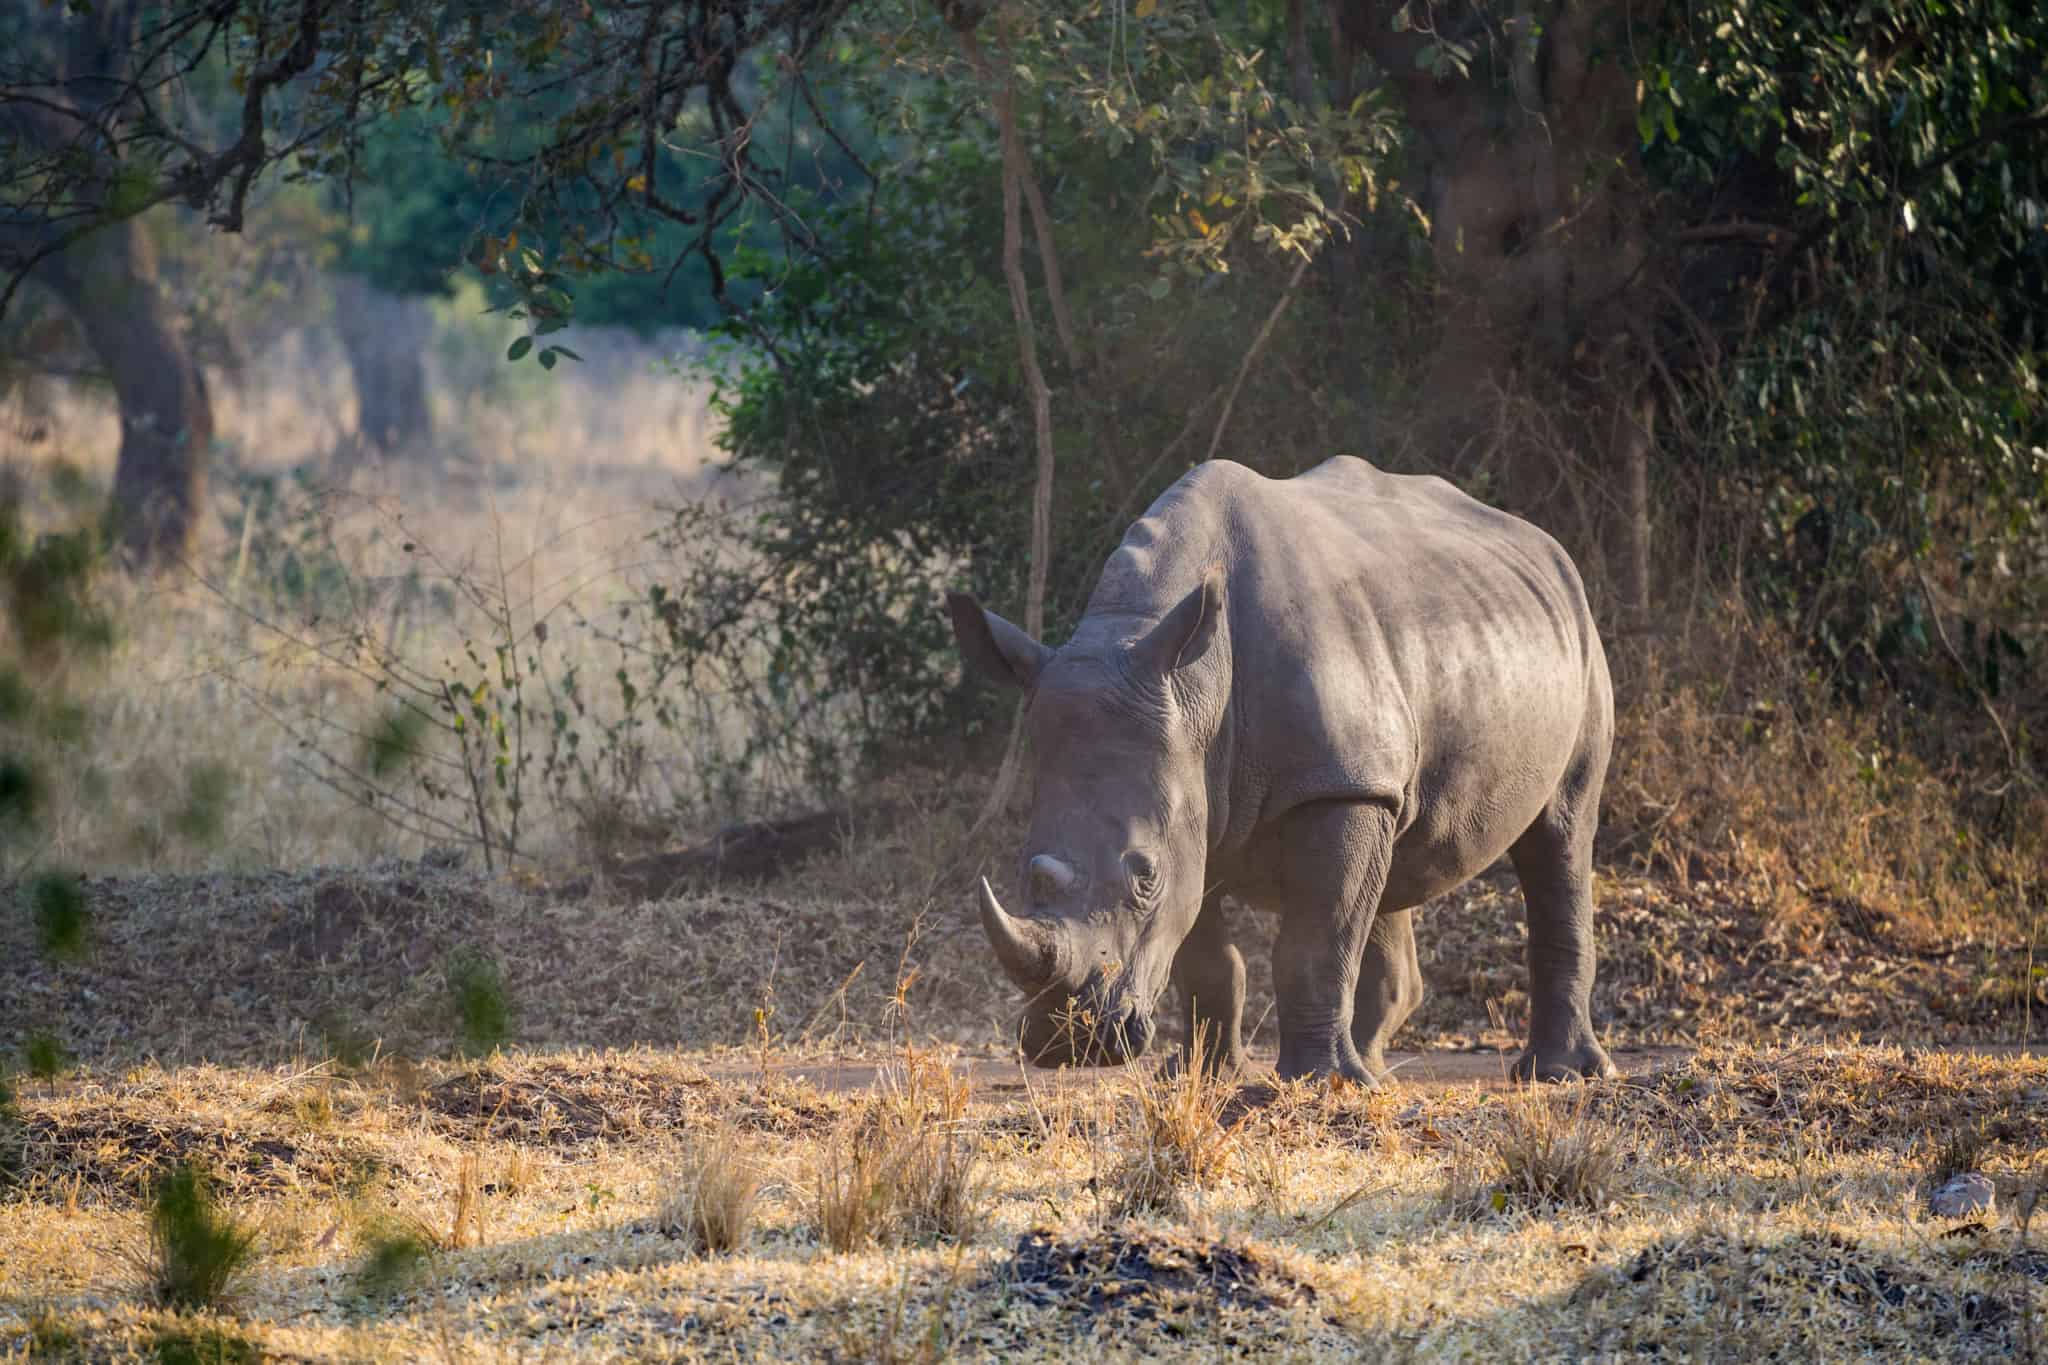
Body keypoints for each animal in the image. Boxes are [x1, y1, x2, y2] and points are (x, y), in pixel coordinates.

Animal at [946, 456, 1617, 1085]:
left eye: (1145, 877)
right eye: (1027, 872)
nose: (1071, 1044)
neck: (1191, 680)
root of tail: (1549, 549)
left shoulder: (1331, 786)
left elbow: (1313, 941)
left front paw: (1317, 1085)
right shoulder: (1200, 797)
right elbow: (1208, 957)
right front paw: (1204, 1076)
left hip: (1579, 644)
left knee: (1560, 832)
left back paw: (1557, 1074)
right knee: (1392, 848)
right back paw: (1373, 1069)